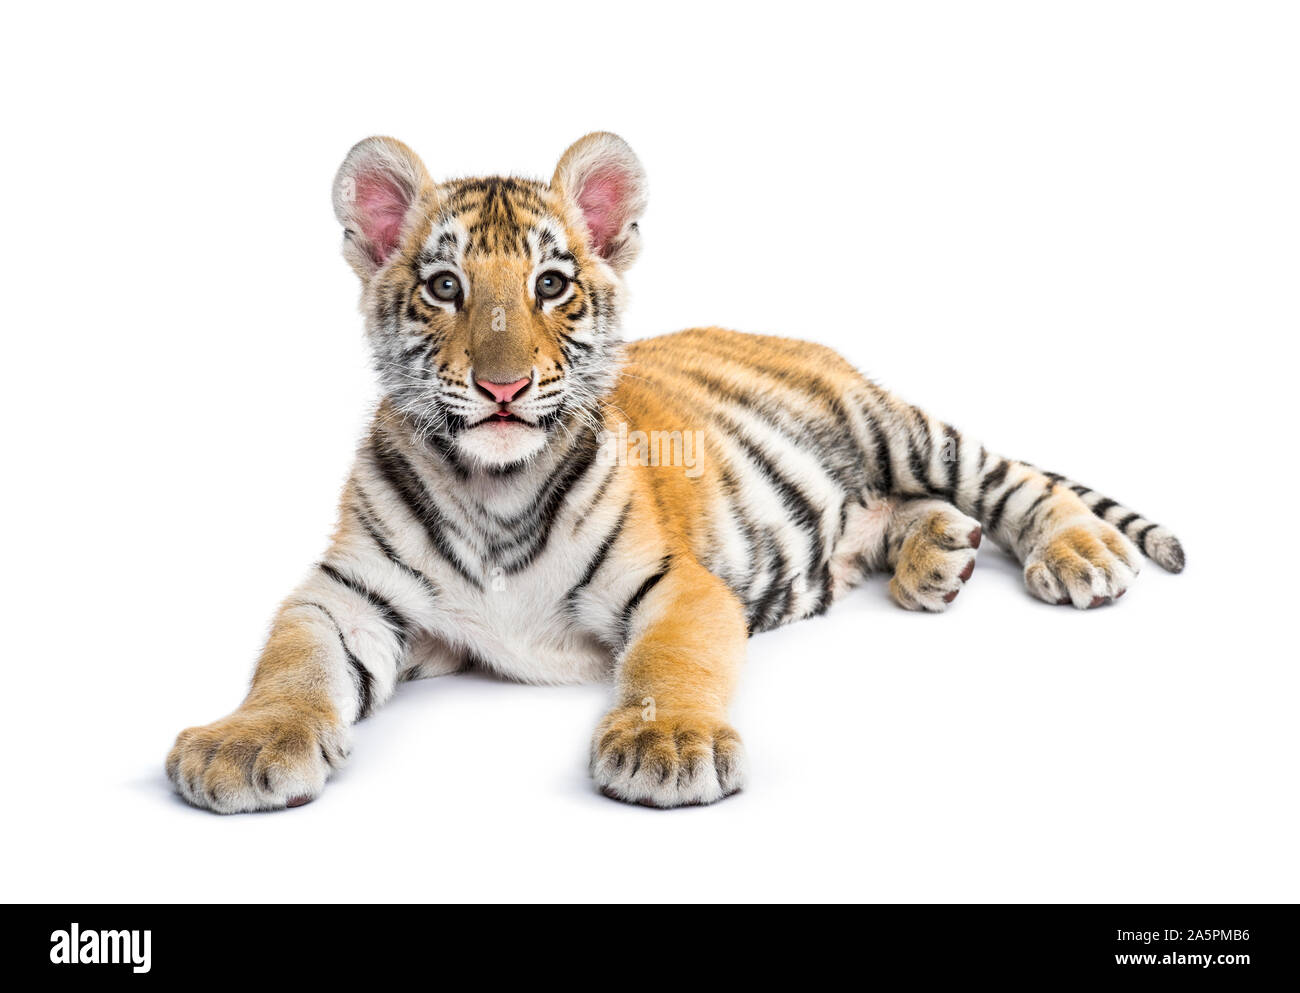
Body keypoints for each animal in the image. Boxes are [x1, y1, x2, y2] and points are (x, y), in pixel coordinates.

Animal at [166, 132, 1185, 812]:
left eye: (550, 285)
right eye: (444, 287)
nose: (502, 385)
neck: (493, 490)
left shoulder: (677, 585)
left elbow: (671, 660)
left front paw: (666, 743)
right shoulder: (344, 595)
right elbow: (291, 664)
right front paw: (241, 745)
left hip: (897, 426)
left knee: (1014, 480)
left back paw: (1080, 554)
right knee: (900, 512)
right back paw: (936, 557)